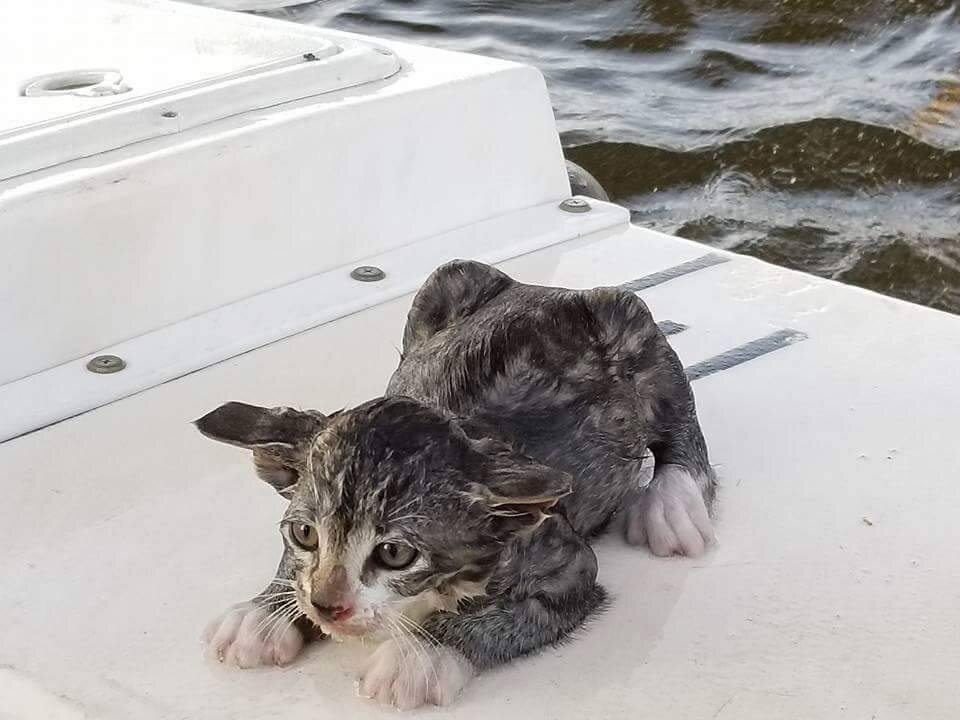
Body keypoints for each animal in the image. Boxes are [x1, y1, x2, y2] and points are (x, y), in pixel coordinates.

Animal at [201, 260, 712, 708]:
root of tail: (549, 288)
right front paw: (265, 613)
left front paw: (421, 657)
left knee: (676, 408)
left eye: (394, 553)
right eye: (304, 534)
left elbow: (505, 615)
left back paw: (675, 501)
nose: (327, 606)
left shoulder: (565, 563)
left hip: (626, 322)